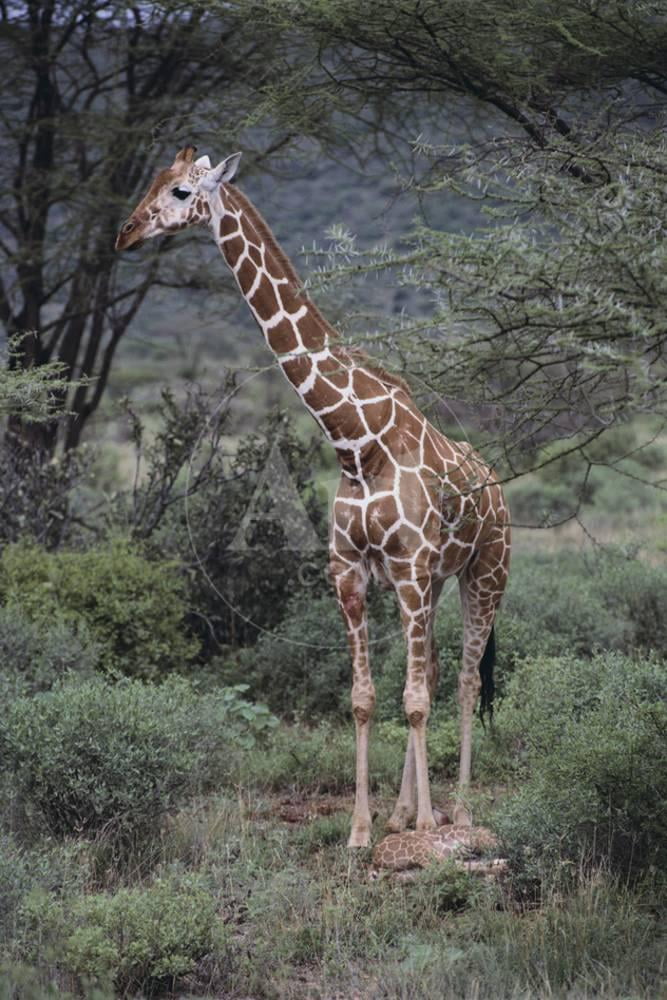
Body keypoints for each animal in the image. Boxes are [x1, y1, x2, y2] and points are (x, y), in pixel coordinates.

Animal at [115, 146, 511, 849]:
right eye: (154, 181)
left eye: (182, 190)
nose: (126, 233)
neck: (357, 441)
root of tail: (498, 488)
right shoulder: (352, 572)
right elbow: (365, 698)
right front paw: (363, 830)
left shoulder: (407, 569)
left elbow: (414, 701)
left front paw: (427, 827)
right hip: (437, 582)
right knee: (437, 671)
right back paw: (403, 811)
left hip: (485, 573)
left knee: (465, 680)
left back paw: (458, 813)